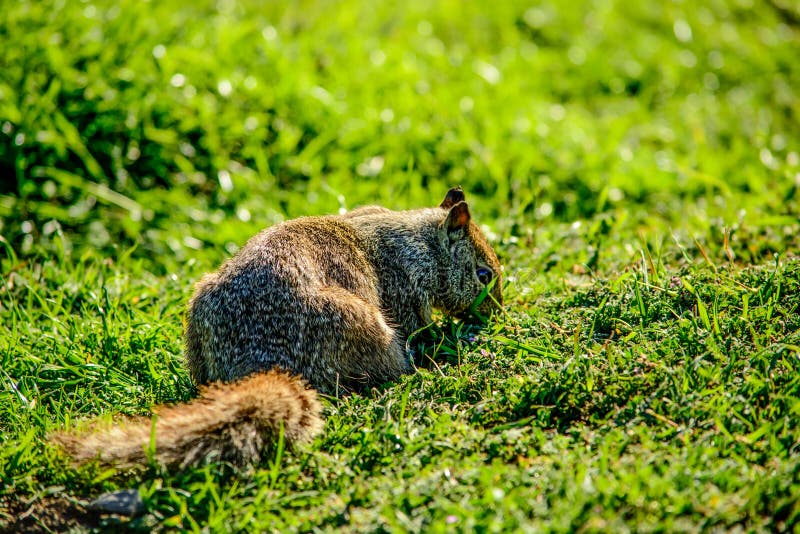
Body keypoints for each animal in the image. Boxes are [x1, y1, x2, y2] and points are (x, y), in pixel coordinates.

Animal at [54, 187, 503, 469]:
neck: (419, 239)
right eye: (484, 274)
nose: (496, 315)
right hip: (366, 327)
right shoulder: (407, 291)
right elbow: (421, 330)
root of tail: (260, 363)